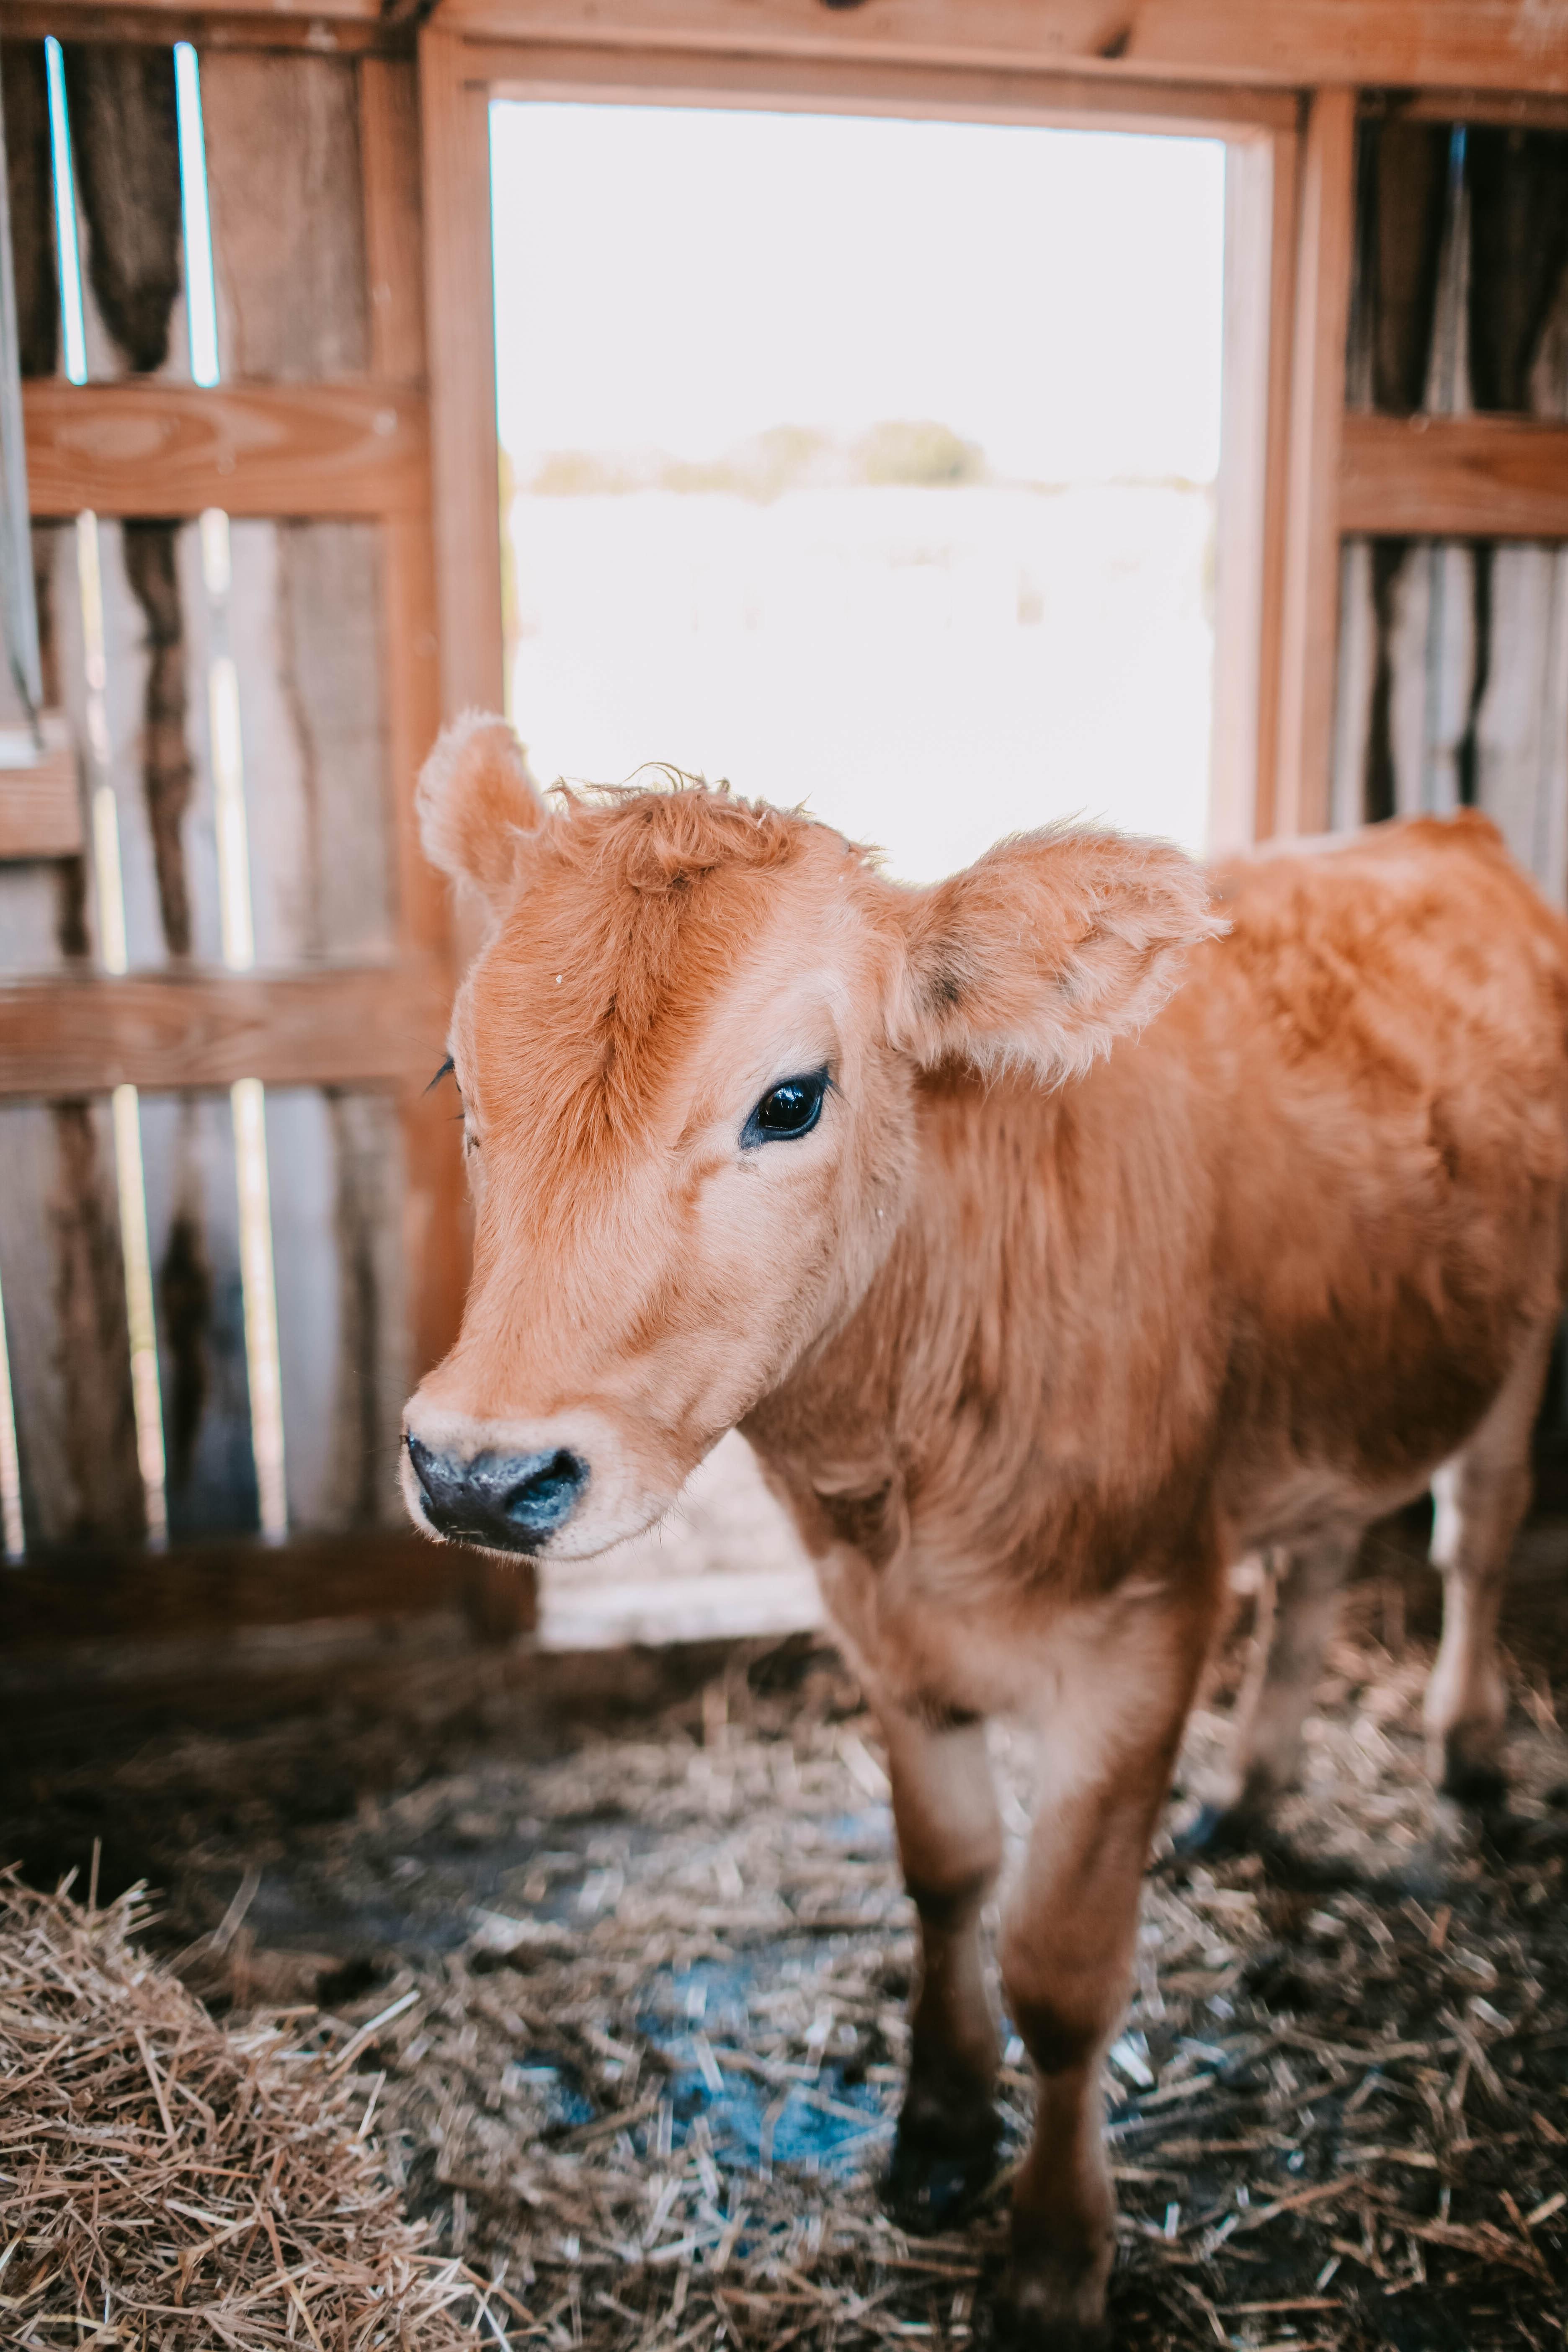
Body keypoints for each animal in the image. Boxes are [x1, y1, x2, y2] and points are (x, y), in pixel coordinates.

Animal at [402, 713, 1568, 2347]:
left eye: (790, 1099)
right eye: (459, 1069)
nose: (478, 1473)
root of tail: (1443, 830)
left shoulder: (1148, 1622)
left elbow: (1064, 1973)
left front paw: (1053, 2256)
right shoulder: (878, 1626)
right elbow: (947, 1873)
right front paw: (942, 2125)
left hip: (1524, 1324)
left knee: (1476, 1523)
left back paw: (1465, 1751)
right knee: (1325, 1552)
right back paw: (1255, 1792)